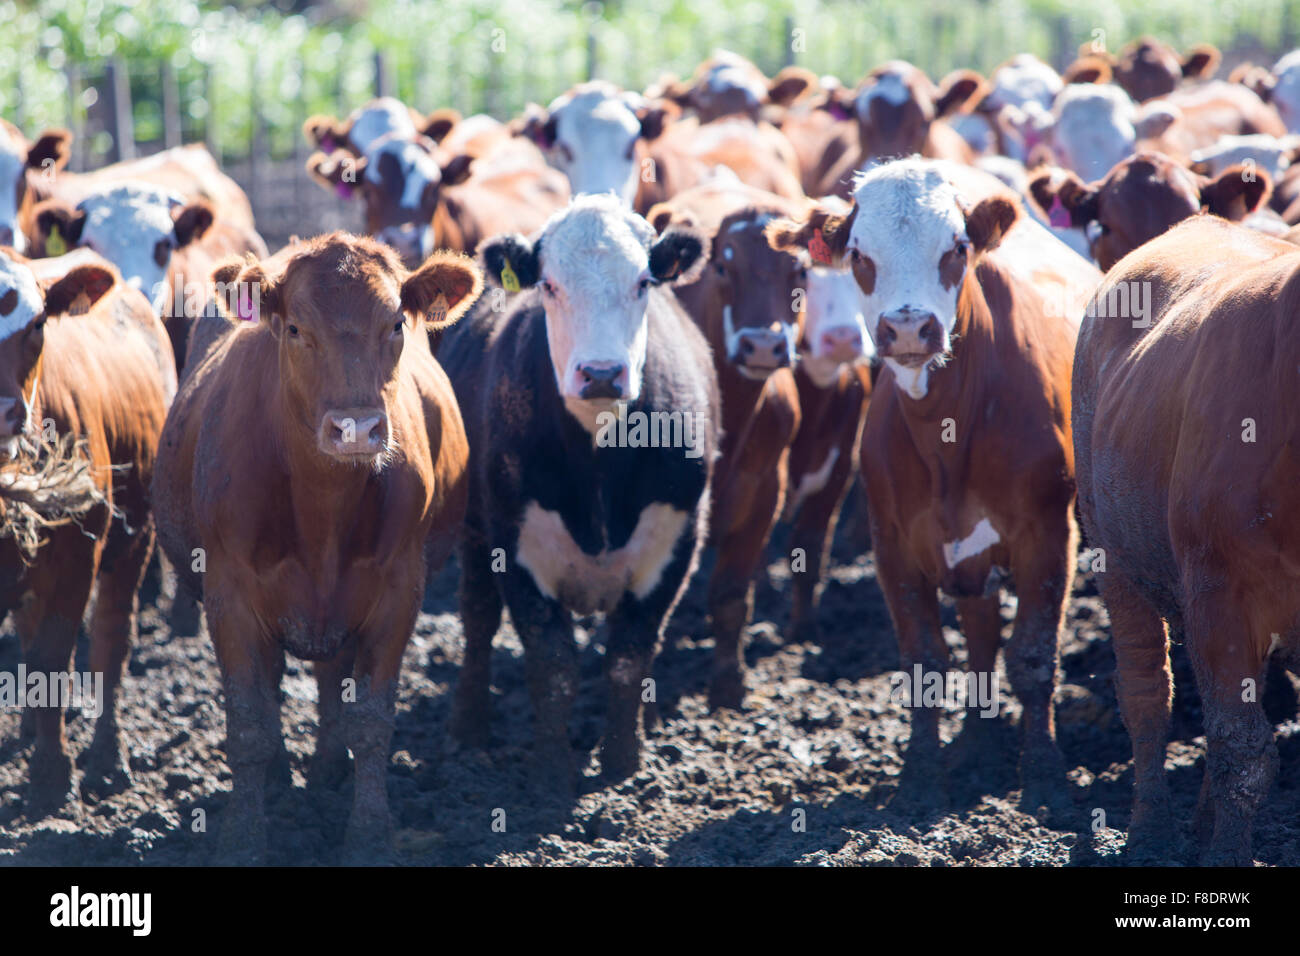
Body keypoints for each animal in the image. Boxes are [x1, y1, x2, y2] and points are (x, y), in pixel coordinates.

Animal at [0, 246, 175, 812]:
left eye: (36, 323)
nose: (6, 412)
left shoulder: (78, 554)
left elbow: (54, 657)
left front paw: (51, 775)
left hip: (135, 538)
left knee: (110, 638)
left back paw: (105, 757)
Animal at [151, 233, 478, 861]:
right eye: (297, 328)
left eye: (395, 323)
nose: (355, 429)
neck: (322, 508)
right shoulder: (228, 594)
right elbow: (248, 719)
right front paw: (243, 836)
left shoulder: (399, 590)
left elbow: (370, 719)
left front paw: (369, 833)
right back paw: (282, 778)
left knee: (331, 675)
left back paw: (328, 768)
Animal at [437, 194, 718, 786]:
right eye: (549, 285)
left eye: (643, 282)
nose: (602, 373)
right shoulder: (513, 541)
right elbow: (554, 663)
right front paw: (551, 771)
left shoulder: (676, 540)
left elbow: (630, 657)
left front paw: (624, 763)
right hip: (472, 533)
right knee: (477, 618)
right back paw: (466, 730)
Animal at [767, 159, 1100, 810]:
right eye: (859, 254)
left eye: (956, 247)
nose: (907, 328)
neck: (948, 426)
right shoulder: (892, 543)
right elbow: (924, 658)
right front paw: (920, 780)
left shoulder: (1048, 536)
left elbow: (1032, 656)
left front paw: (1044, 776)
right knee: (979, 636)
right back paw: (974, 743)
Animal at [1071, 214, 1300, 864]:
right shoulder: (1220, 585)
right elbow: (1241, 751)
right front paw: (1227, 856)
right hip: (1114, 554)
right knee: (1149, 694)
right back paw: (1150, 831)